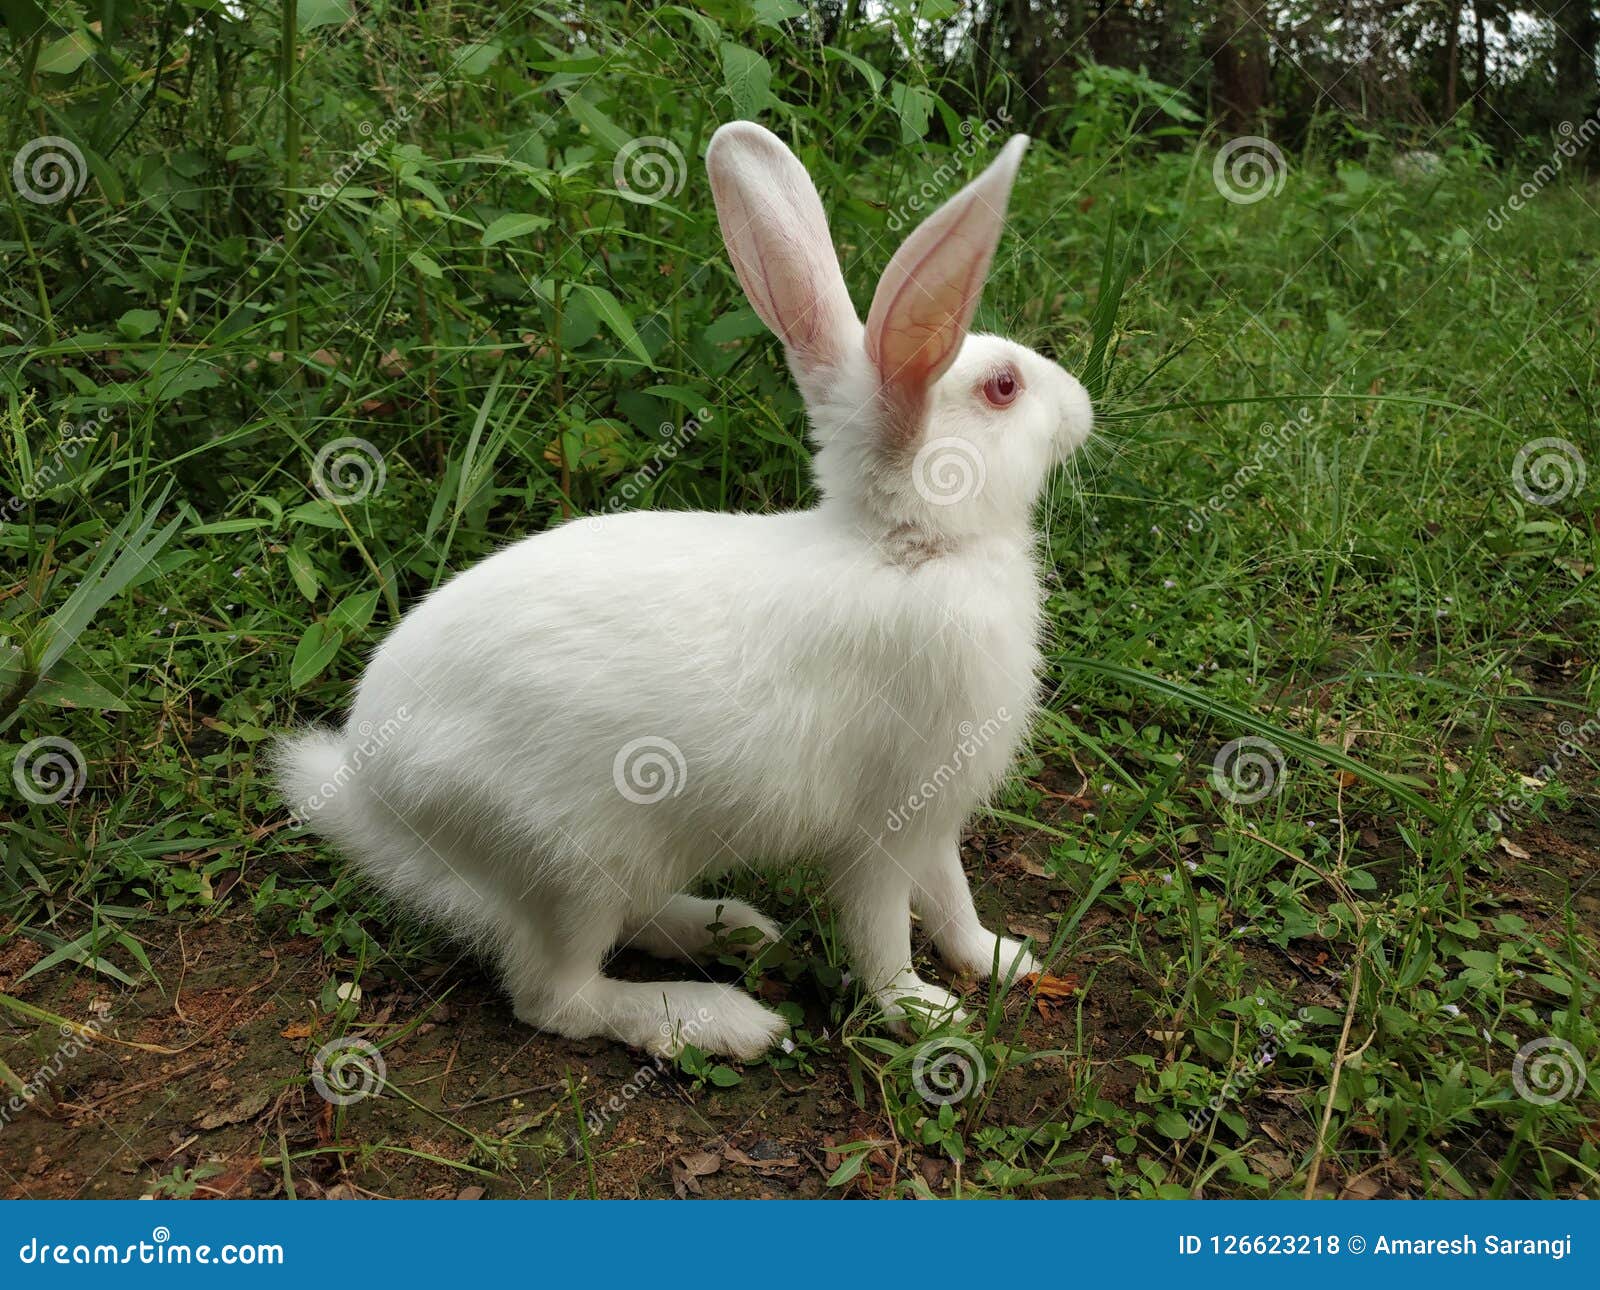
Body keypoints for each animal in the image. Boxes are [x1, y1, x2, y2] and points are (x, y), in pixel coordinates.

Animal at [276, 121, 1093, 1062]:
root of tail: (375, 786)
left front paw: (1002, 960)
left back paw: (730, 927)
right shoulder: (885, 823)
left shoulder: (936, 819)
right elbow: (882, 927)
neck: (903, 549)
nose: (1082, 405)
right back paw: (719, 1019)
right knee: (555, 997)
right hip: (574, 863)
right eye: (1004, 388)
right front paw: (924, 1013)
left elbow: (952, 897)